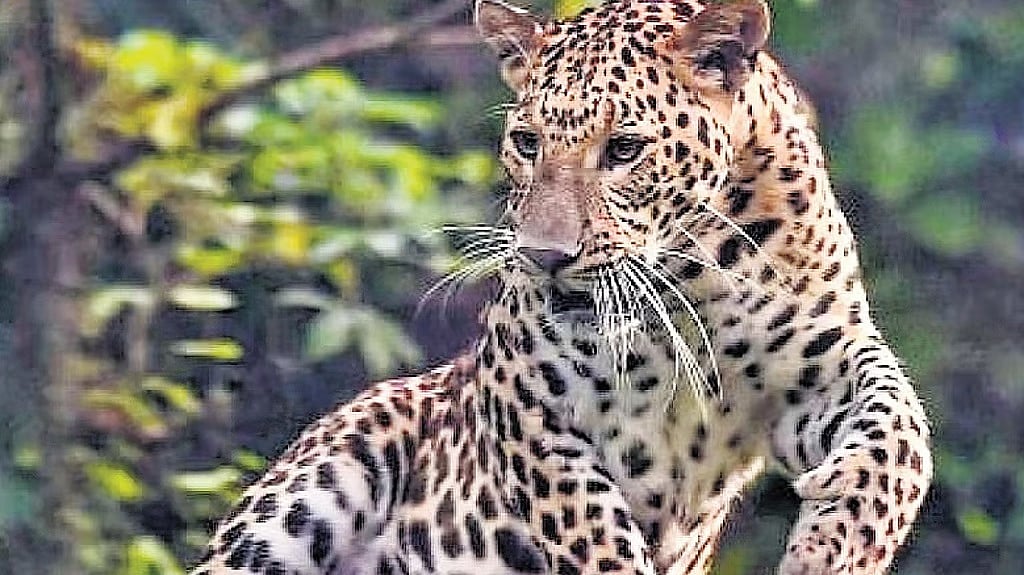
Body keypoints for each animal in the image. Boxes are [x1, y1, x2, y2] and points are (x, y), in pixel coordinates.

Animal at [189, 1, 933, 574]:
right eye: (526, 142)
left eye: (624, 150)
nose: (545, 257)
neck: (688, 273)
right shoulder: (524, 395)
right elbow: (585, 520)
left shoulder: (825, 359)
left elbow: (901, 431)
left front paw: (837, 545)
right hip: (323, 474)